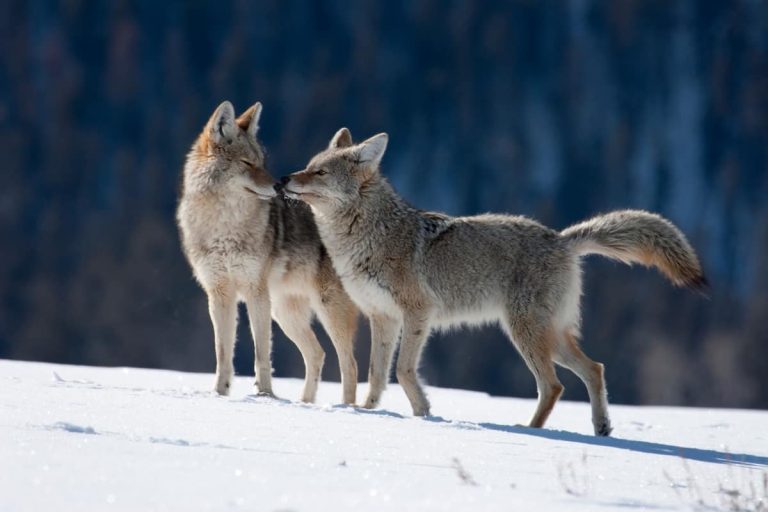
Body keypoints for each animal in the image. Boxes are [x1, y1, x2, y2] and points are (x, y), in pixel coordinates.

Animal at [176, 101, 358, 404]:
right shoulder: (219, 294)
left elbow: (261, 353)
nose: (278, 186)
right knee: (317, 353)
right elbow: (223, 354)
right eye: (247, 163)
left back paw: (349, 408)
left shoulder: (256, 292)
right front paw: (219, 394)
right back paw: (305, 402)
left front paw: (265, 394)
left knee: (350, 364)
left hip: (327, 310)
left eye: (262, 162)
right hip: (285, 313)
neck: (225, 228)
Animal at [278, 127, 708, 436]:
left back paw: (532, 430)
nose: (283, 178)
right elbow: (377, 375)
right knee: (595, 369)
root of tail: (562, 238)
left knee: (554, 385)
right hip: (548, 337)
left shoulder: (417, 315)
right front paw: (368, 412)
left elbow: (402, 371)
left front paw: (423, 414)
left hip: (524, 334)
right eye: (308, 165)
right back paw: (601, 428)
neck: (369, 235)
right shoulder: (382, 318)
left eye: (319, 172)